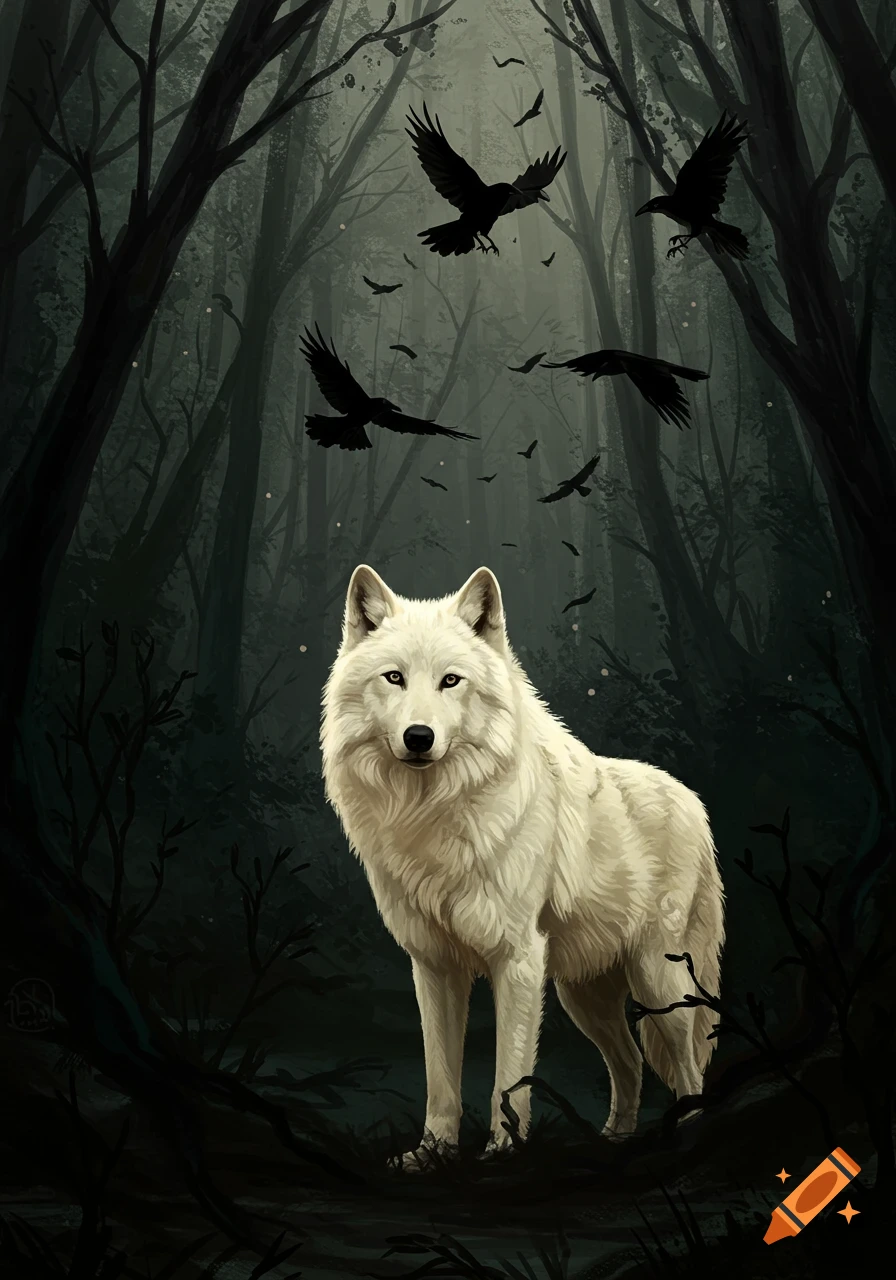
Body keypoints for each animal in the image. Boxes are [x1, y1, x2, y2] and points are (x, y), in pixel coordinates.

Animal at [321, 564, 725, 1168]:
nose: (419, 737)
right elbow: (441, 1077)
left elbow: (508, 1074)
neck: (434, 813)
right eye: (394, 678)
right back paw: (613, 1141)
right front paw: (432, 1153)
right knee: (629, 1063)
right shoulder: (434, 967)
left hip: (659, 984)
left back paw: (687, 1142)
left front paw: (502, 1154)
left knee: (687, 1067)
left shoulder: (517, 960)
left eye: (451, 681)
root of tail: (692, 801)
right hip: (583, 997)